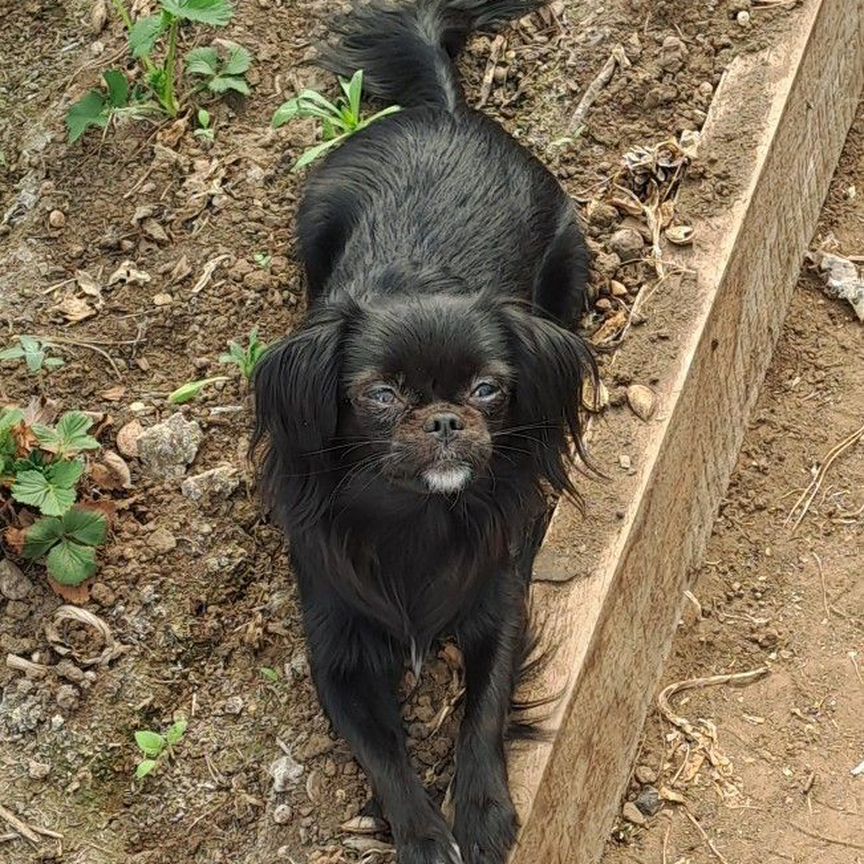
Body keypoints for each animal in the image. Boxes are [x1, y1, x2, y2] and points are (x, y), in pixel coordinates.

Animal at [253, 3, 596, 860]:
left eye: (488, 390)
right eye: (379, 396)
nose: (443, 418)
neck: (414, 519)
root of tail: (443, 108)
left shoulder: (499, 606)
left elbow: (484, 709)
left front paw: (481, 811)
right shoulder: (336, 654)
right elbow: (382, 751)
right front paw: (421, 834)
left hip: (571, 260)